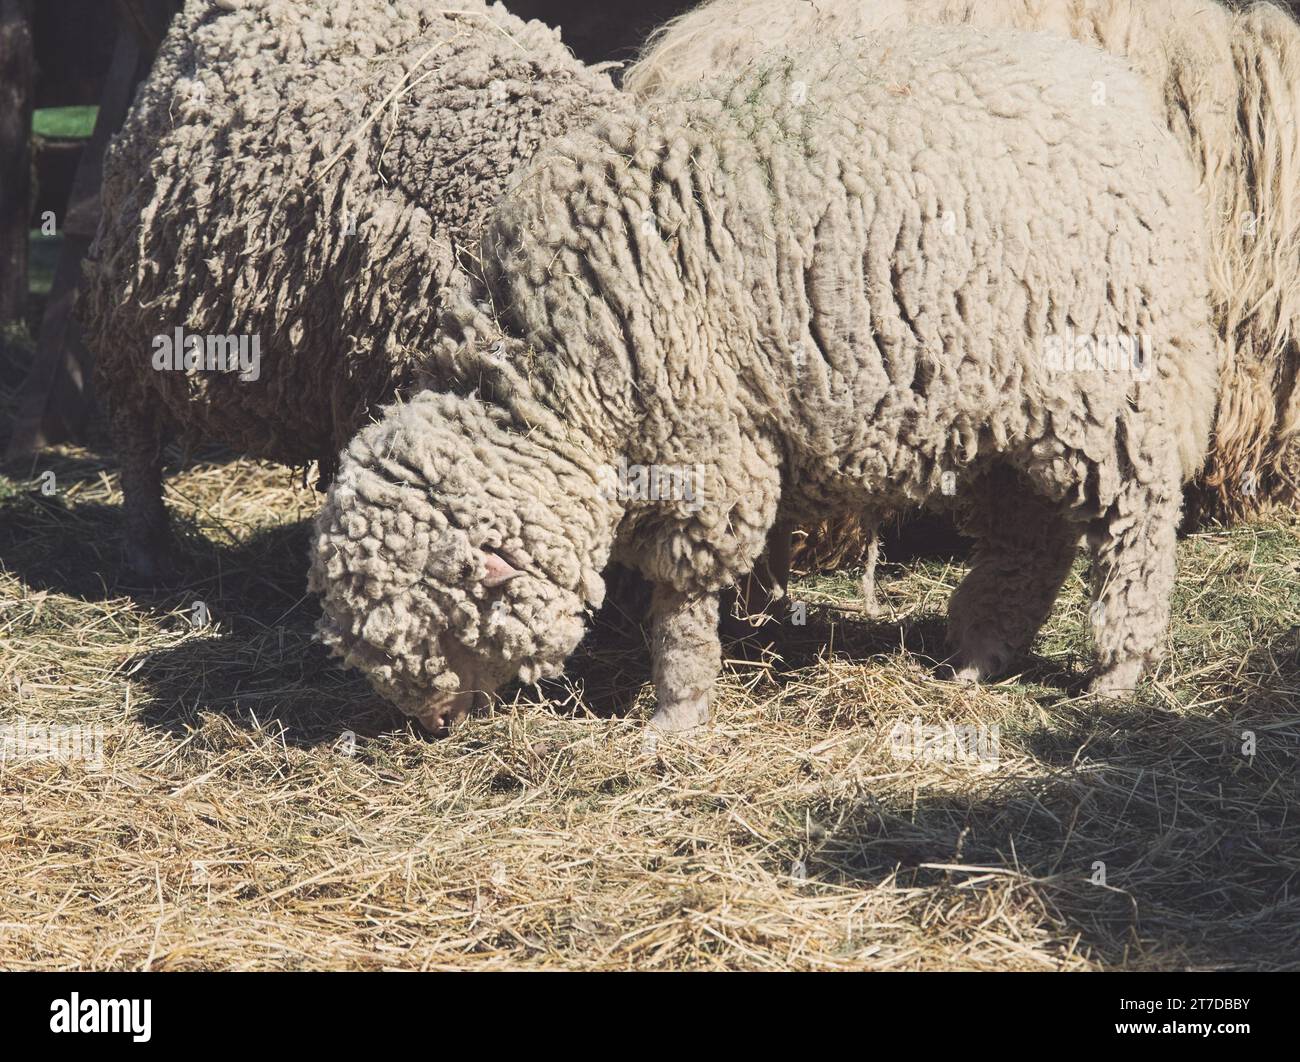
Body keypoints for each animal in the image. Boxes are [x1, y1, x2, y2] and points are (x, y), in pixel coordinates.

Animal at [308, 25, 1220, 733]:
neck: (557, 377)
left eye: (434, 627)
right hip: (1002, 409)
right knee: (1033, 532)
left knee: (1134, 522)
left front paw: (674, 713)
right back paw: (980, 653)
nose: (430, 725)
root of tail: (1123, 98)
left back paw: (1118, 670)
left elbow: (680, 600)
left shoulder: (702, 452)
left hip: (1110, 383)